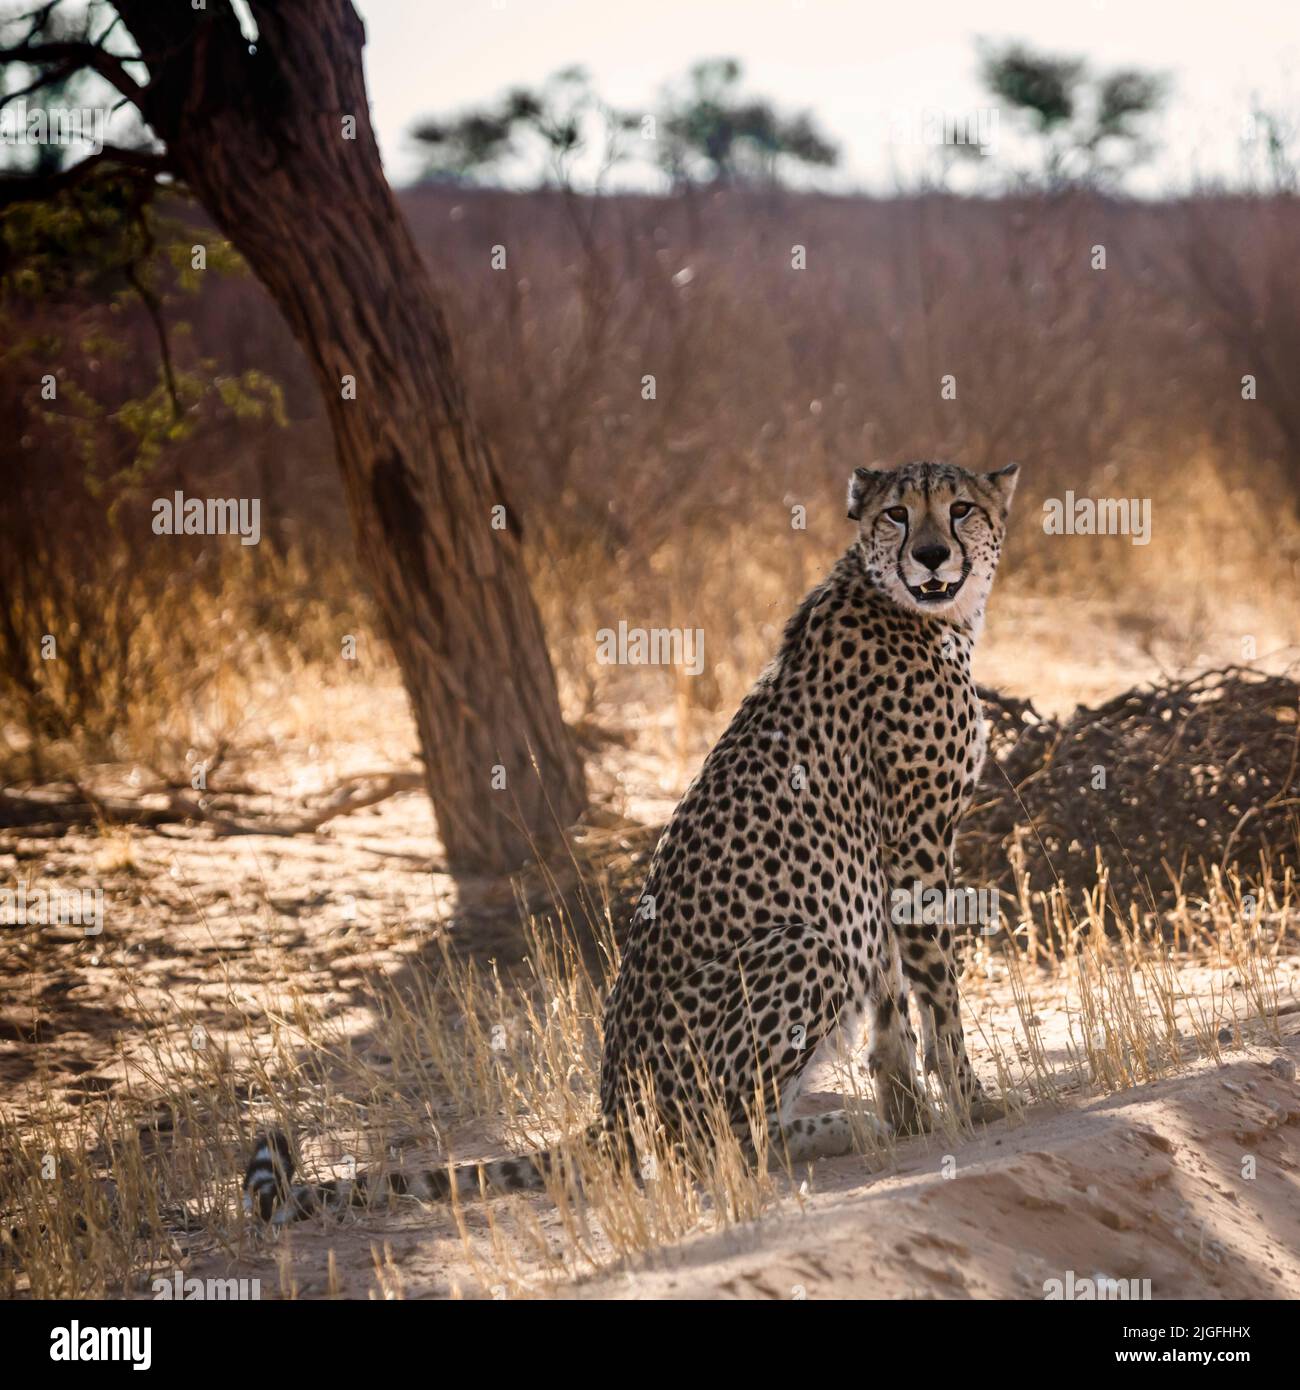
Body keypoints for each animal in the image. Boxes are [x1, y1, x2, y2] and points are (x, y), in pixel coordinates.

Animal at [244, 458, 1020, 1223]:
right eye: (897, 514)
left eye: (960, 509)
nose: (930, 554)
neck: (921, 610)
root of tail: (610, 1100)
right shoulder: (915, 844)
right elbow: (938, 994)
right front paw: (973, 1104)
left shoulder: (881, 867)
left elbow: (893, 1007)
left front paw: (916, 1114)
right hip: (804, 947)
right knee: (708, 1144)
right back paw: (839, 1128)